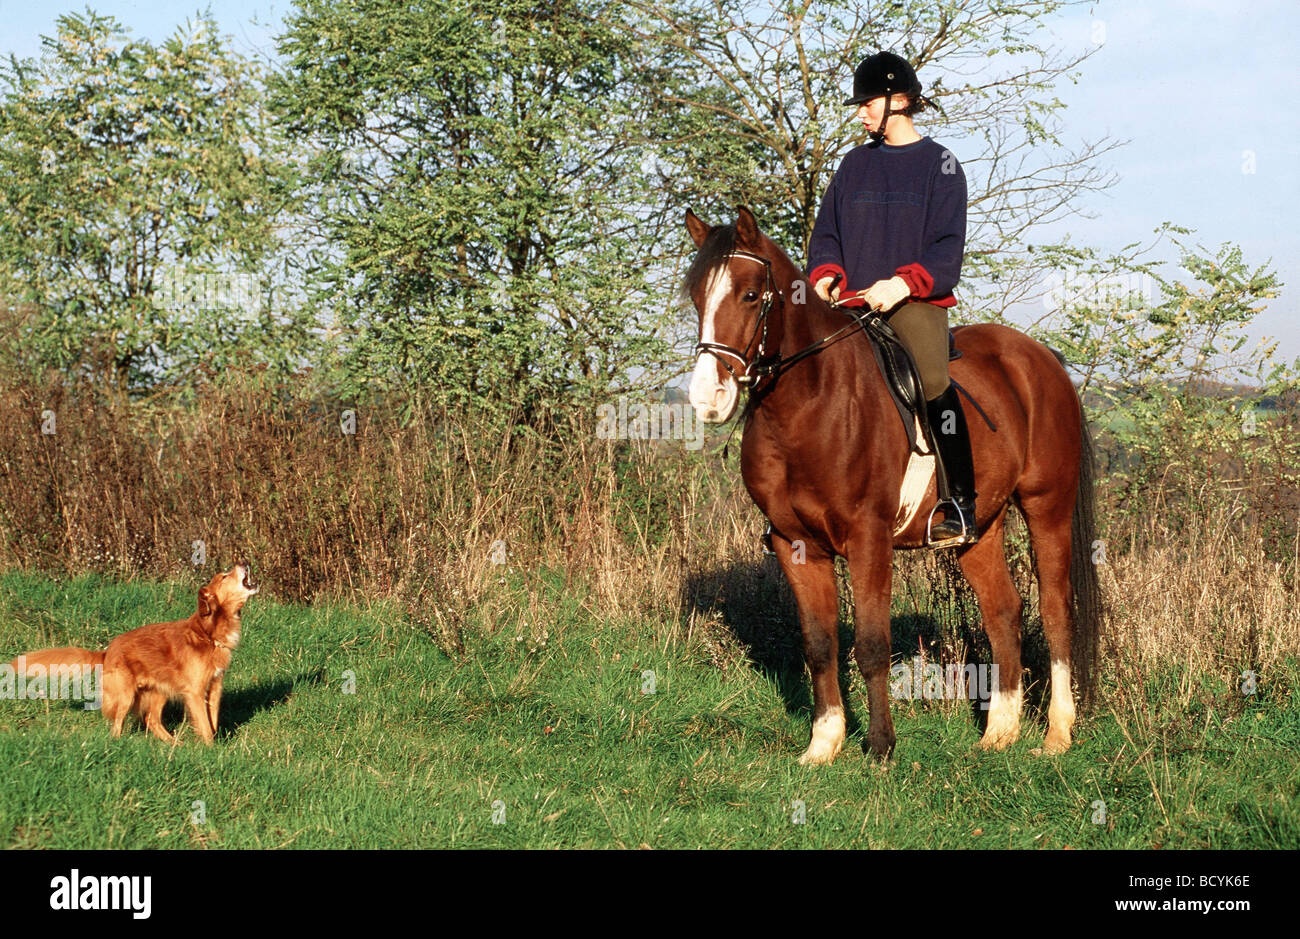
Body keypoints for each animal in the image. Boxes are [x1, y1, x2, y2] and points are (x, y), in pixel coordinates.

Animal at [683, 206, 1102, 762]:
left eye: (751, 294)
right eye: (695, 295)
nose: (708, 397)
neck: (809, 405)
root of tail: (1042, 358)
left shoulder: (868, 540)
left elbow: (871, 645)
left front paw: (880, 746)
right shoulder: (795, 544)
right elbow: (820, 645)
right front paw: (823, 744)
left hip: (1046, 506)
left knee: (1055, 610)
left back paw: (1056, 734)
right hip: (978, 530)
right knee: (1003, 612)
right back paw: (999, 733)